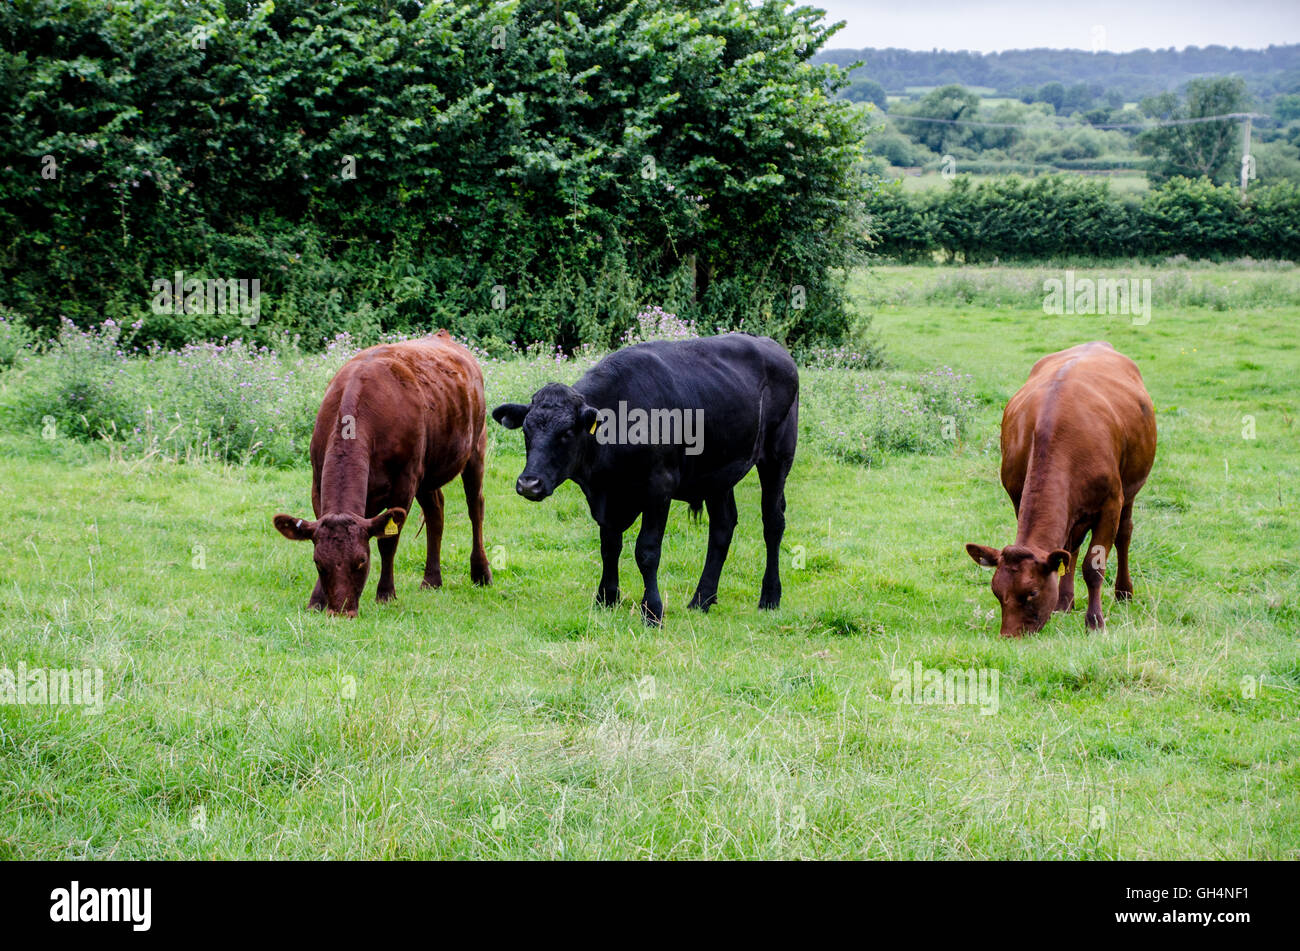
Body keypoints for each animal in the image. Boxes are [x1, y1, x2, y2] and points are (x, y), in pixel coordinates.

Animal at [273, 331, 491, 616]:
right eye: (318, 563)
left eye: (361, 561)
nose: (341, 611)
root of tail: (443, 336)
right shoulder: (317, 483)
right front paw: (316, 601)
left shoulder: (404, 483)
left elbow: (388, 542)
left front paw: (385, 593)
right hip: (428, 472)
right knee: (436, 513)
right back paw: (431, 579)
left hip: (475, 448)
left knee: (475, 507)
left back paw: (481, 573)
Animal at [491, 333, 799, 625]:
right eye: (526, 431)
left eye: (566, 432)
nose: (529, 484)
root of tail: (773, 347)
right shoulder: (608, 497)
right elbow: (609, 547)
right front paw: (606, 598)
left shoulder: (659, 488)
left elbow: (647, 551)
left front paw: (652, 611)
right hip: (718, 472)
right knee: (723, 527)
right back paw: (702, 599)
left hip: (777, 456)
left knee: (773, 523)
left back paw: (770, 596)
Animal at [966, 341, 1156, 636]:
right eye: (997, 592)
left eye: (1032, 592)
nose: (1009, 635)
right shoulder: (1018, 496)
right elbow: (1065, 555)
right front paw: (1064, 602)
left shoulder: (1111, 504)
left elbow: (1093, 567)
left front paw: (1095, 621)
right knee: (1071, 548)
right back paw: (1065, 601)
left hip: (1131, 489)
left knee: (1124, 534)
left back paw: (1124, 592)